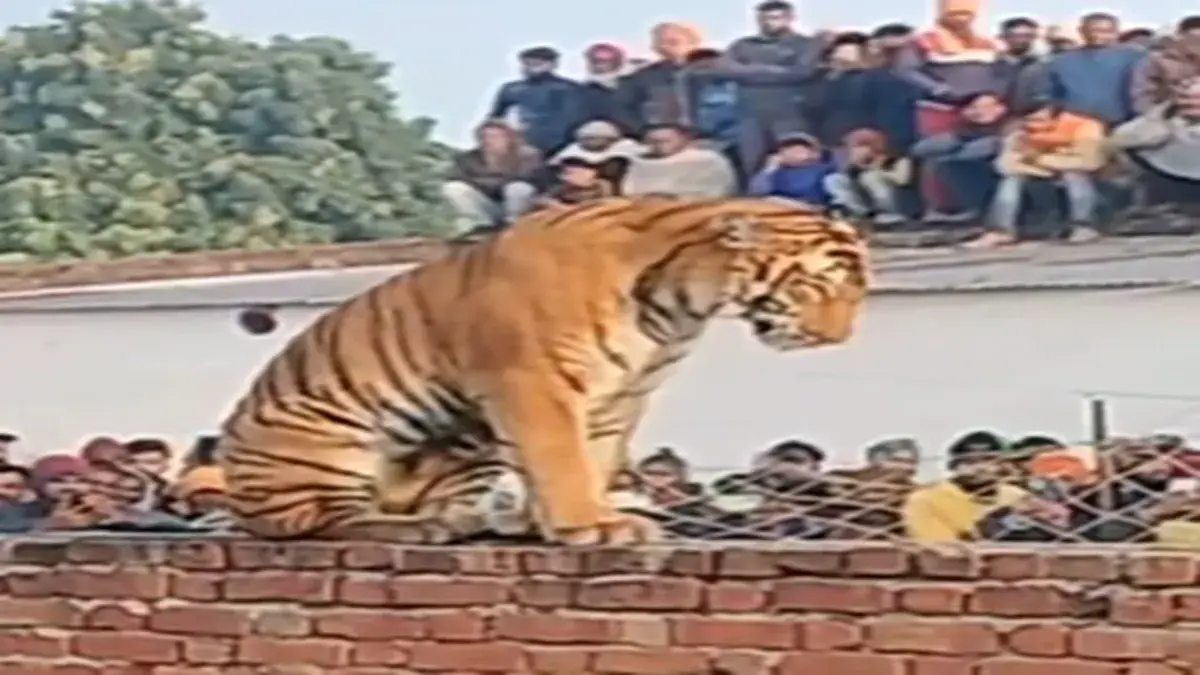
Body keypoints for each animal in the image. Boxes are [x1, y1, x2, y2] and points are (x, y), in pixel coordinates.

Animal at [217, 195, 870, 545]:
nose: (838, 338)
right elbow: (560, 458)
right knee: (320, 519)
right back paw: (415, 529)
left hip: (467, 447)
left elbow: (589, 460)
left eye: (858, 294)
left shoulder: (621, 396)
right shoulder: (533, 380)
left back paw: (466, 519)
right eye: (814, 287)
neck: (680, 300)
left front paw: (566, 523)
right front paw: (590, 525)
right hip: (324, 439)